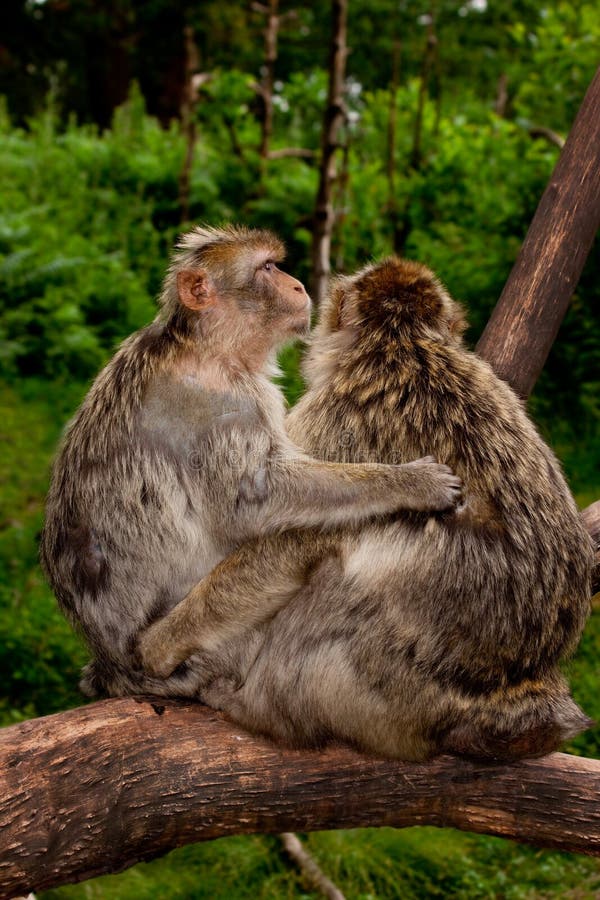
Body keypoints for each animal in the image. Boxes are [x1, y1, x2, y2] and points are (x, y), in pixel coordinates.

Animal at [40, 228, 463, 700]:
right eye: (266, 268)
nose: (297, 285)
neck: (203, 344)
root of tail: (116, 668)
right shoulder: (226, 404)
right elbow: (254, 501)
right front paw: (409, 482)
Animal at [139, 255, 593, 762]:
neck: (403, 344)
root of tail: (513, 698)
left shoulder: (328, 416)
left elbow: (287, 544)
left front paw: (163, 641)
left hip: (393, 689)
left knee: (340, 575)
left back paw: (260, 710)